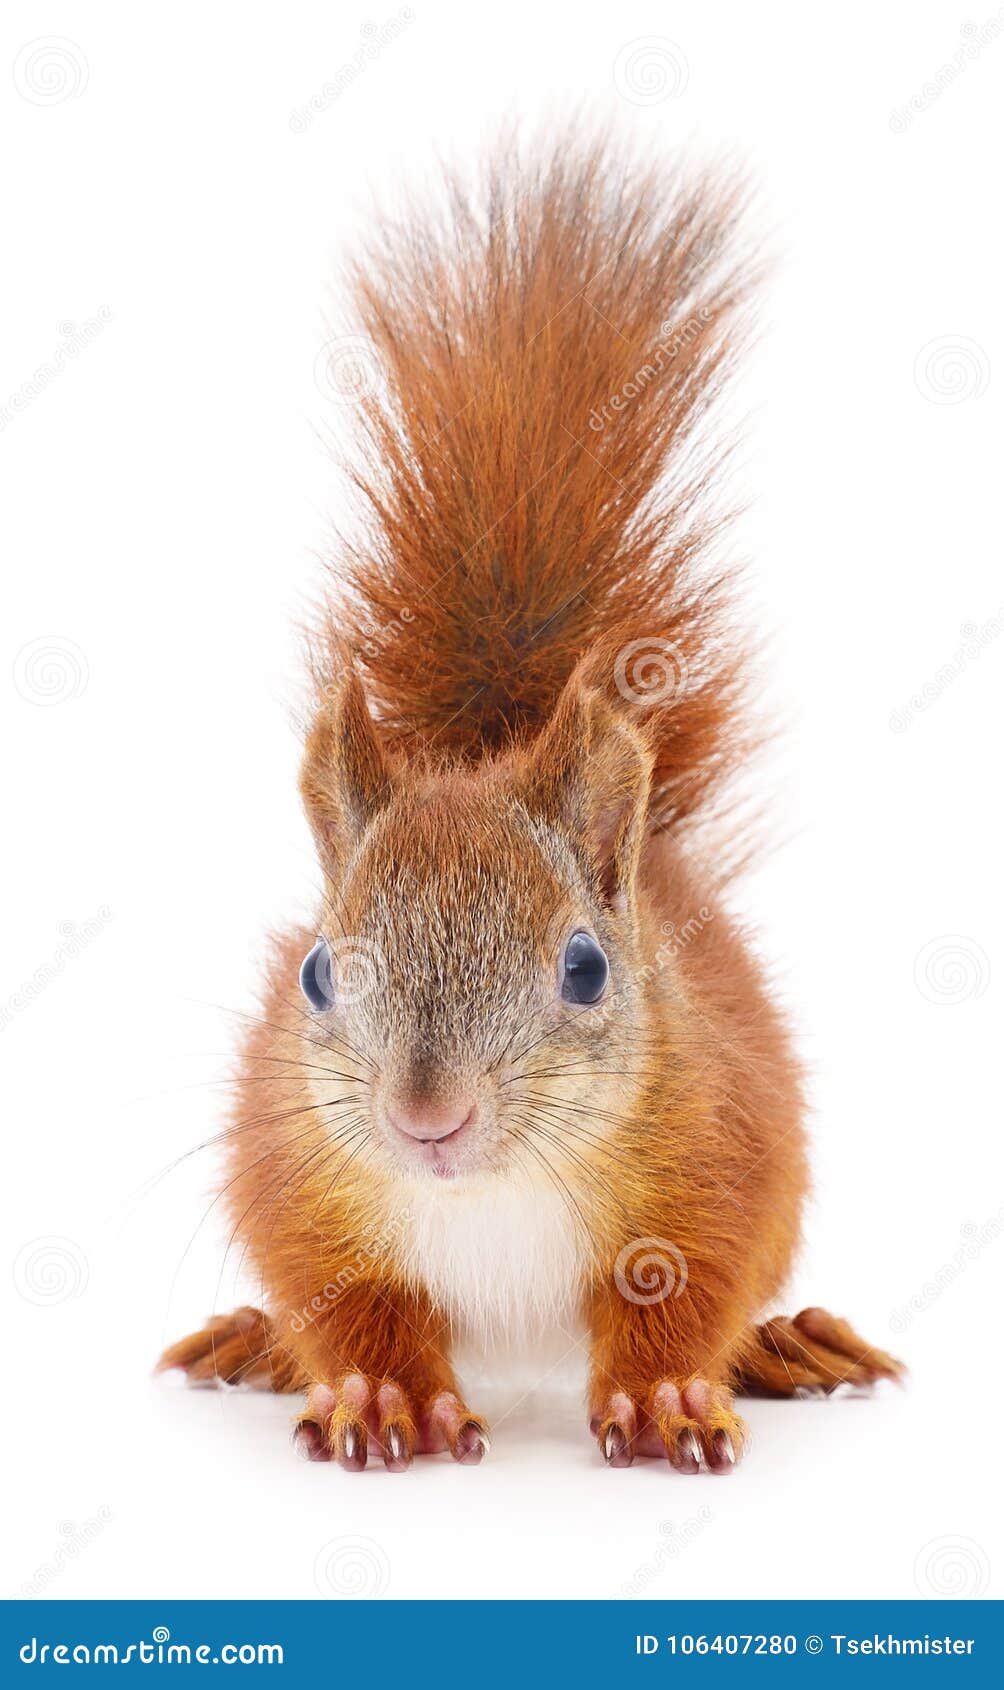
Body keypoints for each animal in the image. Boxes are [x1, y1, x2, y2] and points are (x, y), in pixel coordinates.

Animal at [159, 133, 902, 1472]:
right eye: (316, 973)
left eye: (586, 969)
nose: (426, 1120)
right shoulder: (297, 1170)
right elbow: (350, 1302)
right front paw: (380, 1395)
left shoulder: (712, 1141)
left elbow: (686, 1291)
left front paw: (666, 1397)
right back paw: (254, 1339)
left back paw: (787, 1341)